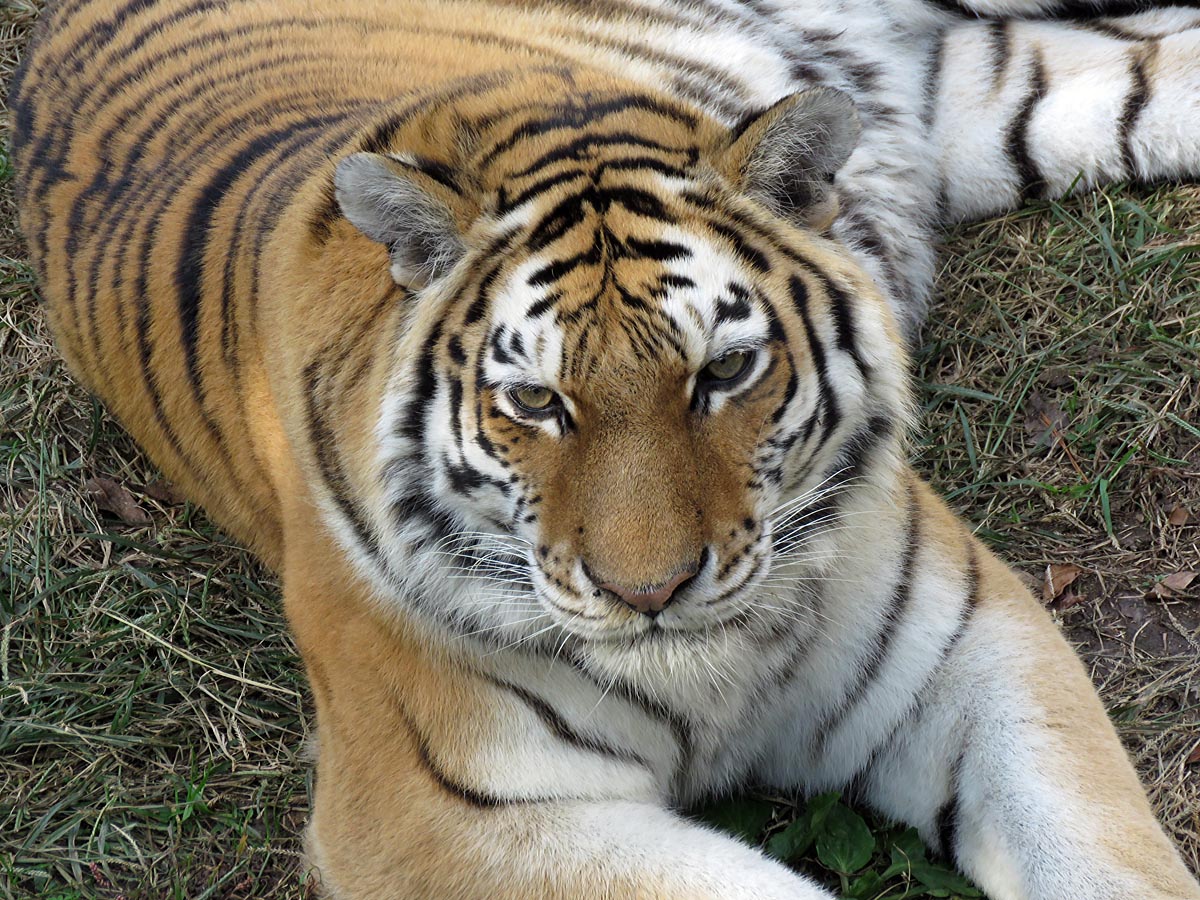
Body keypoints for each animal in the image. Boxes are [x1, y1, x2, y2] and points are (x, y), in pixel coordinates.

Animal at [9, 0, 1200, 896]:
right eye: (535, 401)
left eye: (725, 370)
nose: (650, 592)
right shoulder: (432, 816)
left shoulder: (973, 648)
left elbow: (1097, 849)